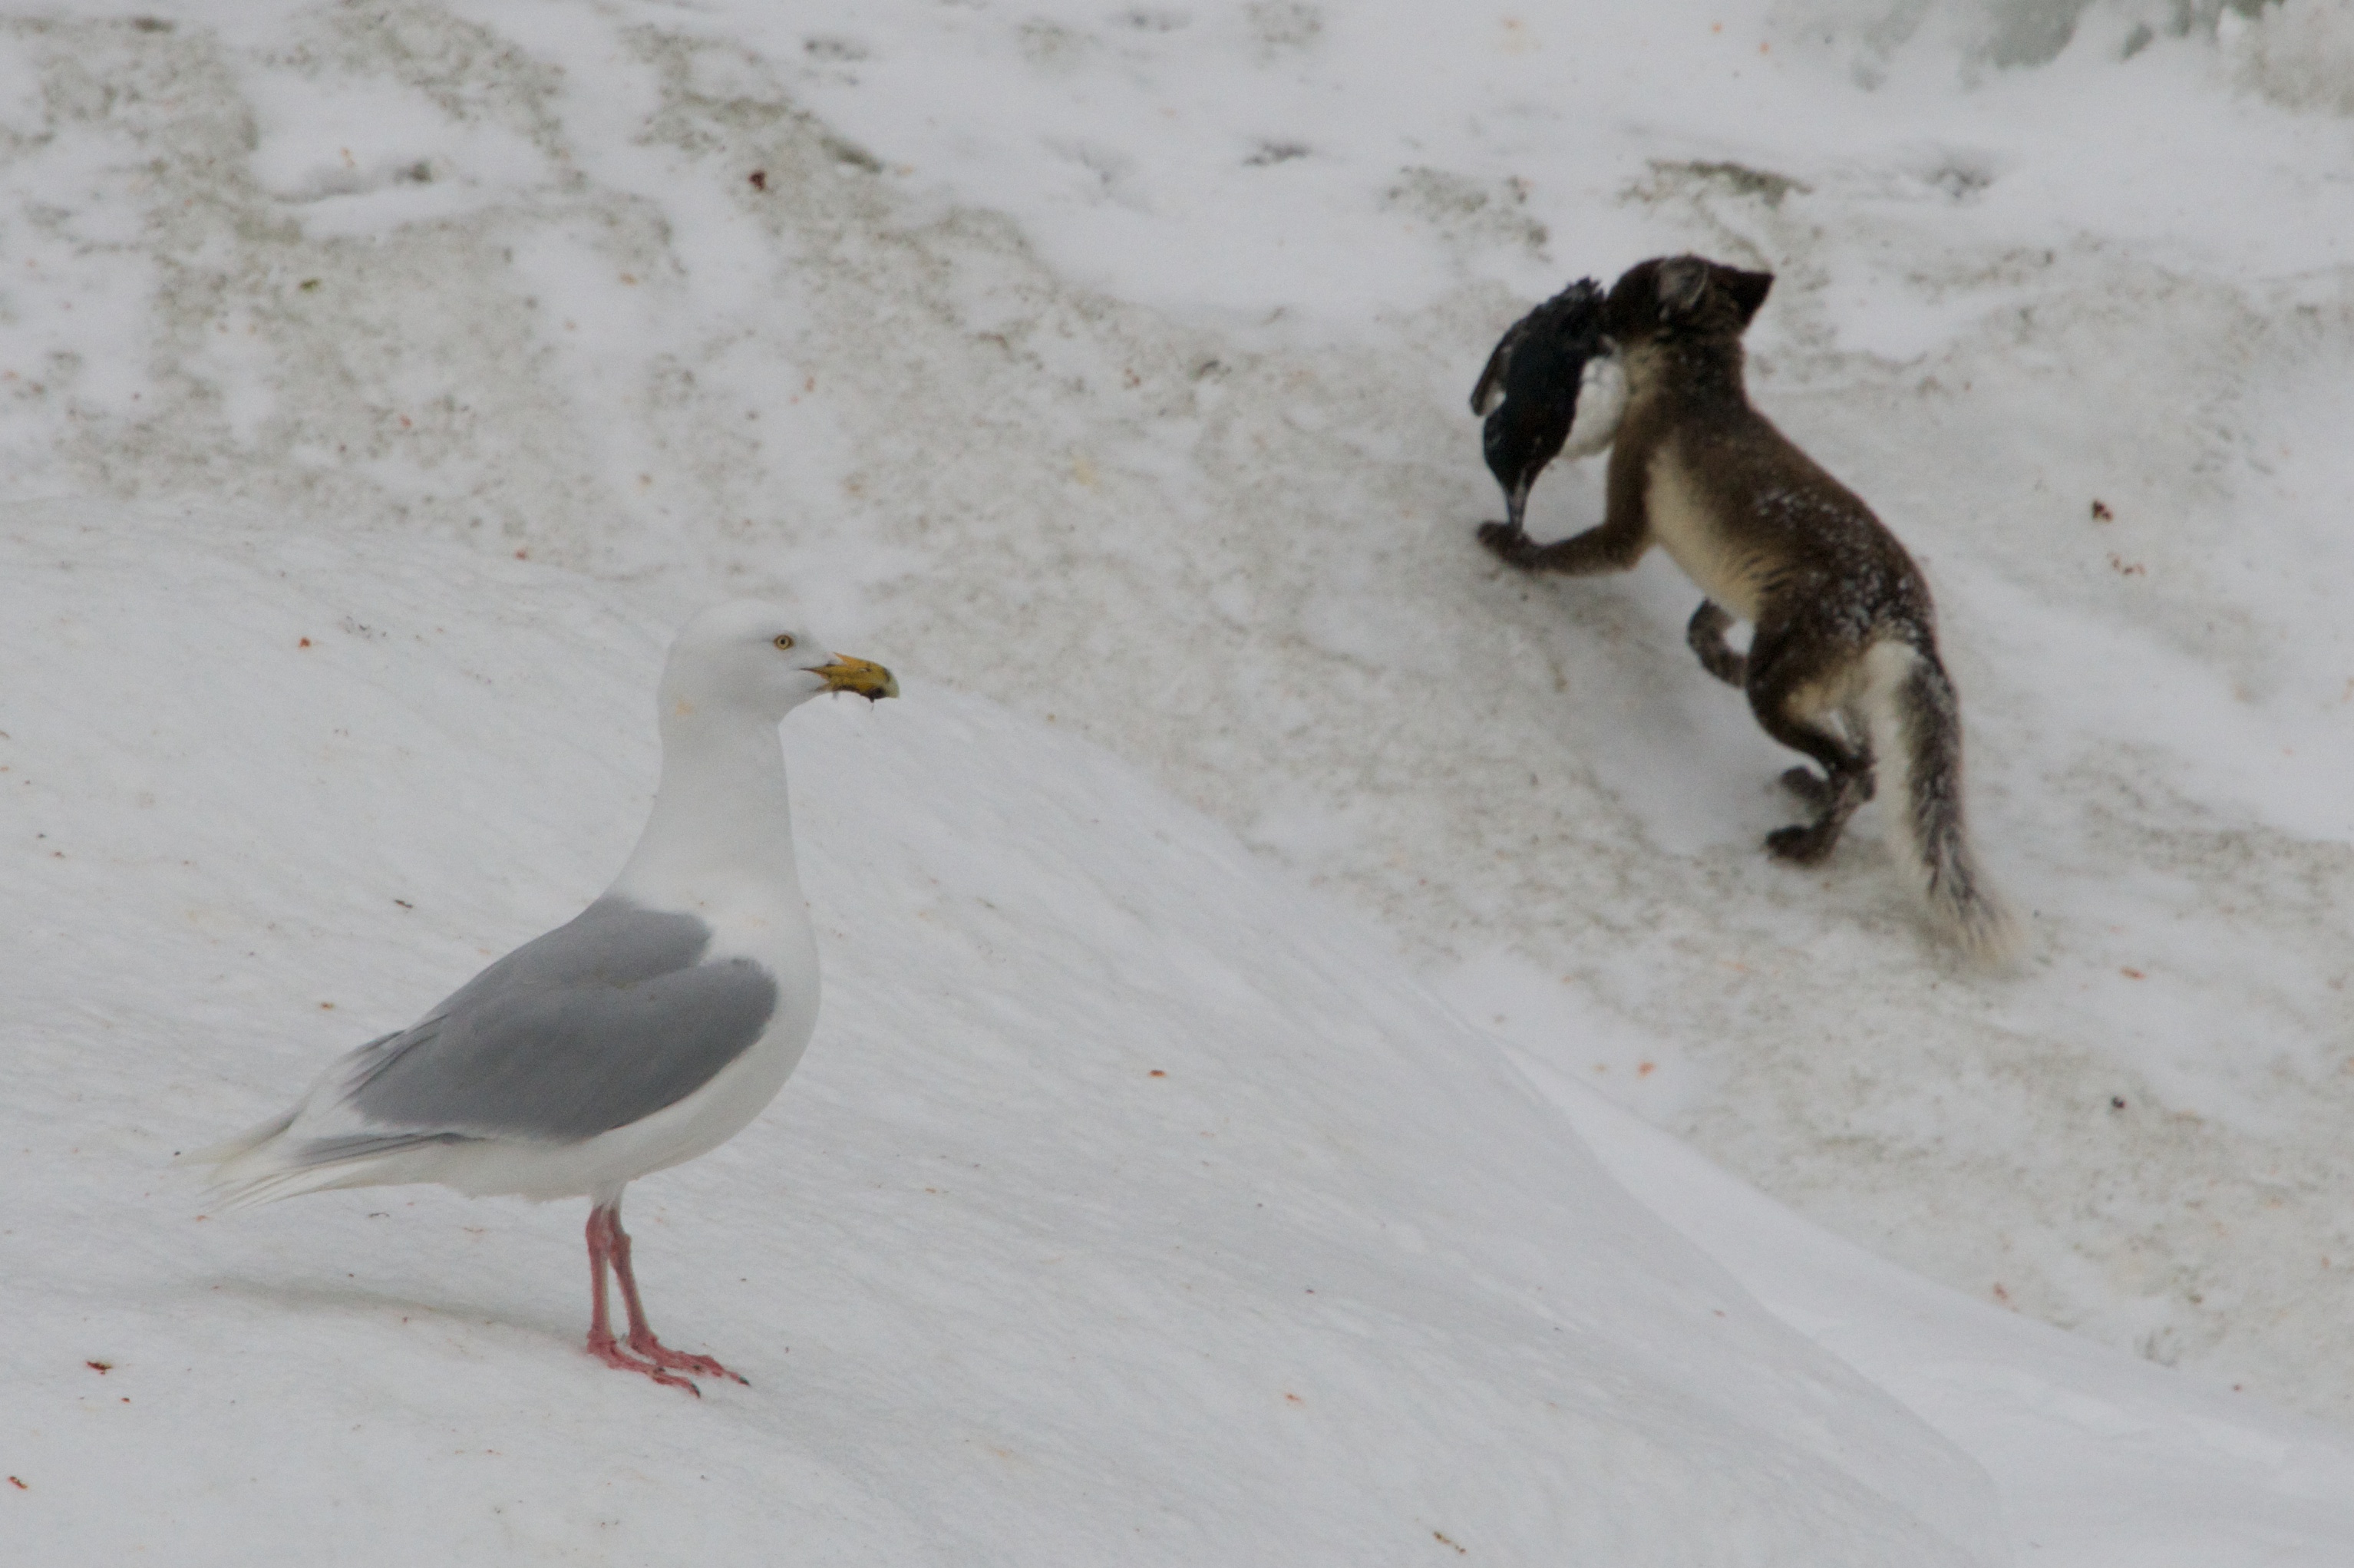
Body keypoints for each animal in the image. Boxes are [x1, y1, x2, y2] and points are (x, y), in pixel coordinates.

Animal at [1477, 253, 2016, 961]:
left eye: (1617, 292)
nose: (1581, 297)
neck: (1692, 392)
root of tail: (1904, 613)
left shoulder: (1629, 520)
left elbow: (1564, 554)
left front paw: (1510, 547)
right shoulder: (1738, 589)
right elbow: (1698, 629)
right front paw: (1719, 661)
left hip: (1777, 695)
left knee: (1855, 772)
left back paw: (1808, 846)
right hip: (1838, 692)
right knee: (1868, 768)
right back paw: (1808, 794)